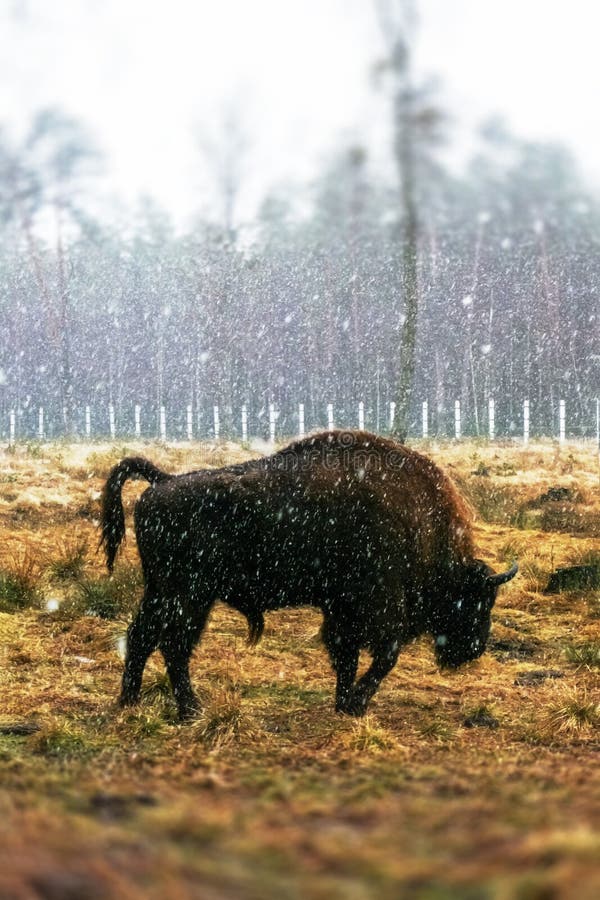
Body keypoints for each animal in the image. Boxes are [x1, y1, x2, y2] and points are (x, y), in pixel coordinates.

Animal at [100, 430, 517, 720]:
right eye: (477, 599)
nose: (474, 648)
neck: (421, 525)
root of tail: (162, 482)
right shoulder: (379, 608)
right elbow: (384, 656)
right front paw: (356, 704)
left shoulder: (341, 609)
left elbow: (346, 655)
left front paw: (343, 703)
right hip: (188, 594)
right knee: (172, 644)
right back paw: (188, 710)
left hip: (165, 591)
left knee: (144, 637)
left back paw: (131, 702)